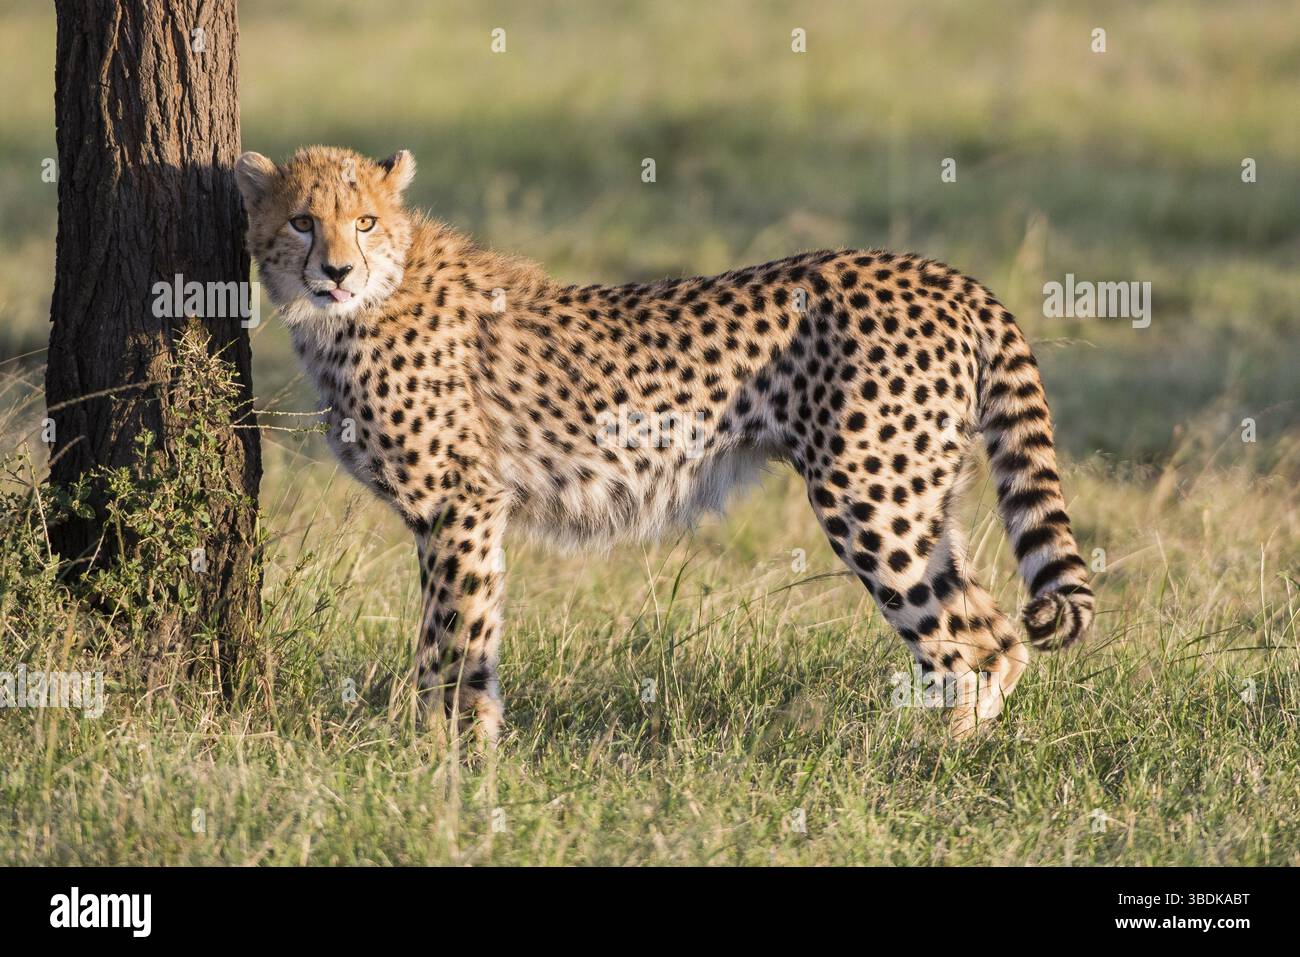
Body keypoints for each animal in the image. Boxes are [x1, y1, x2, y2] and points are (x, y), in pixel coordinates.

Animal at [236, 145, 1095, 743]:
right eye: (302, 221)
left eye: (365, 221)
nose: (336, 271)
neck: (357, 310)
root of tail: (942, 273)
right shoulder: (465, 508)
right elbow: (460, 629)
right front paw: (446, 747)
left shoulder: (462, 503)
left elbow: (457, 632)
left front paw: (445, 753)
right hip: (916, 498)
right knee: (994, 632)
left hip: (871, 499)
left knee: (973, 641)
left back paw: (921, 758)